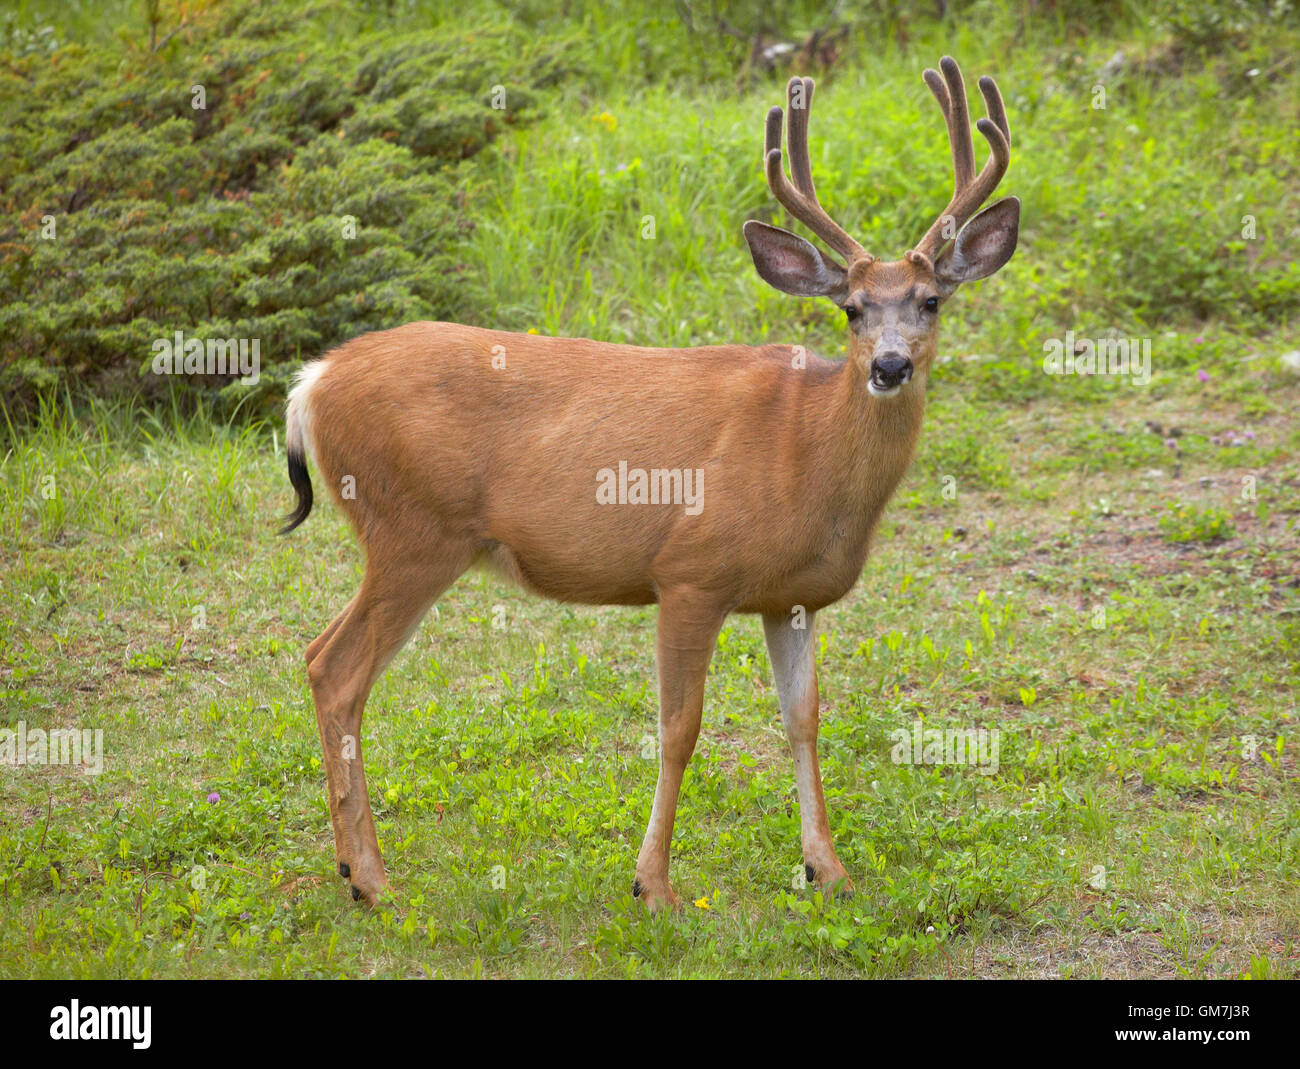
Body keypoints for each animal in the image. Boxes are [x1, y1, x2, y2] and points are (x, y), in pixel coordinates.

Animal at [281, 57, 1019, 911]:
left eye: (930, 301)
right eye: (852, 309)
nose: (890, 366)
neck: (806, 450)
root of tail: (311, 383)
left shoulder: (792, 597)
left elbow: (803, 718)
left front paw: (827, 869)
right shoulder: (691, 571)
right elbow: (680, 727)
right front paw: (653, 884)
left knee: (323, 658)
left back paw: (355, 869)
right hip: (414, 532)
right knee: (335, 669)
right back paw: (371, 878)